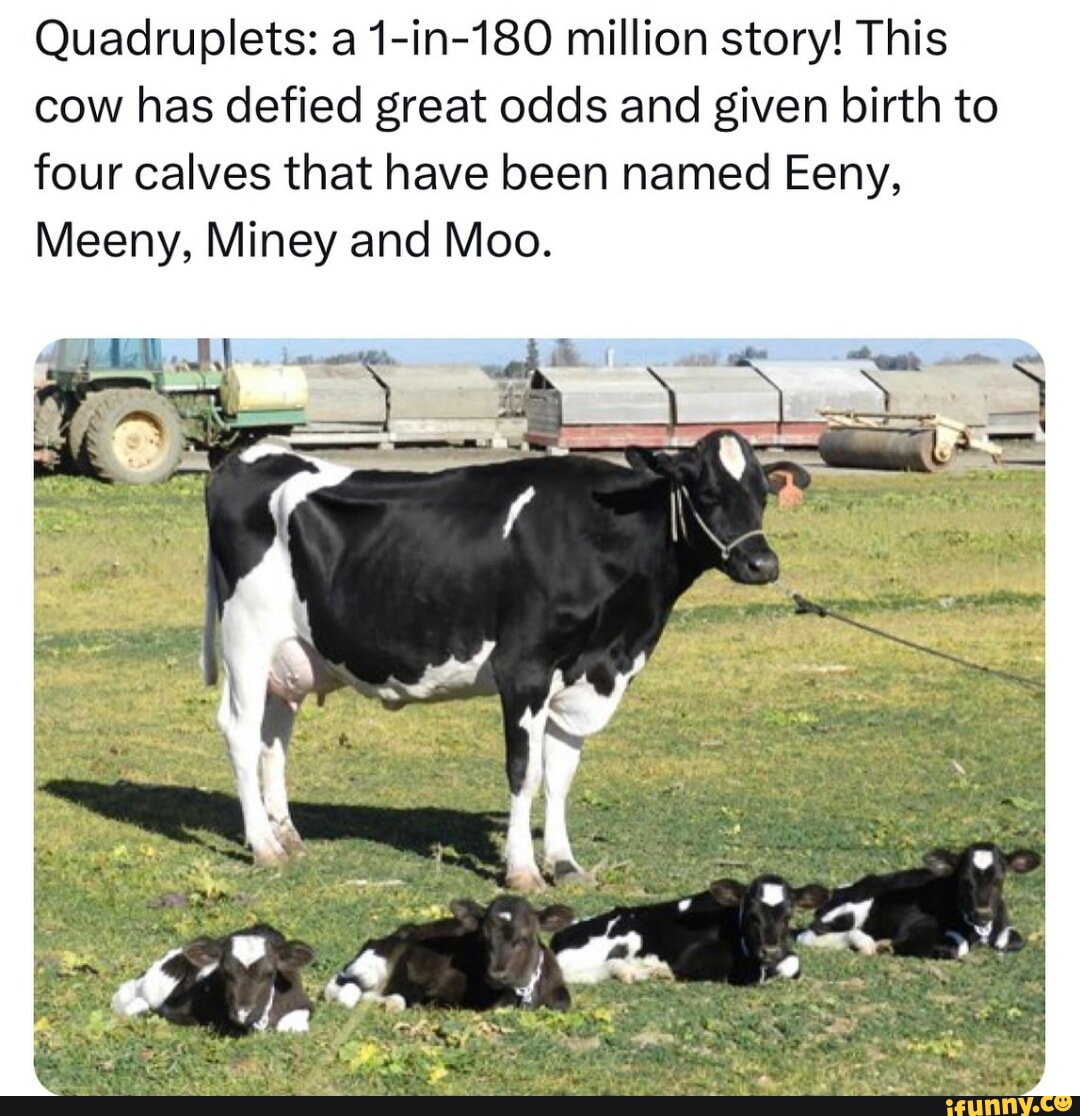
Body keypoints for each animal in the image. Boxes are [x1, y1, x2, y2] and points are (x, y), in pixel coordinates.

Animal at [201, 431, 811, 891]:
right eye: (705, 491)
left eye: (761, 492)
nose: (763, 563)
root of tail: (250, 455)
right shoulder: (525, 667)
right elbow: (526, 770)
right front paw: (522, 870)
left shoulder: (584, 673)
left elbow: (561, 773)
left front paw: (564, 862)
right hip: (246, 635)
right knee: (239, 730)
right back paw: (263, 846)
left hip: (291, 654)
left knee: (274, 734)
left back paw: (288, 835)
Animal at [323, 895, 575, 1011]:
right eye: (483, 938)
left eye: (524, 937)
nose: (496, 974)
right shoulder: (439, 992)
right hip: (374, 964)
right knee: (342, 990)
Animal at [796, 842, 1042, 959]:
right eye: (964, 879)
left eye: (999, 879)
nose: (982, 914)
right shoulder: (916, 925)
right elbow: (956, 947)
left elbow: (1015, 940)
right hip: (855, 906)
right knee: (809, 935)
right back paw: (867, 943)